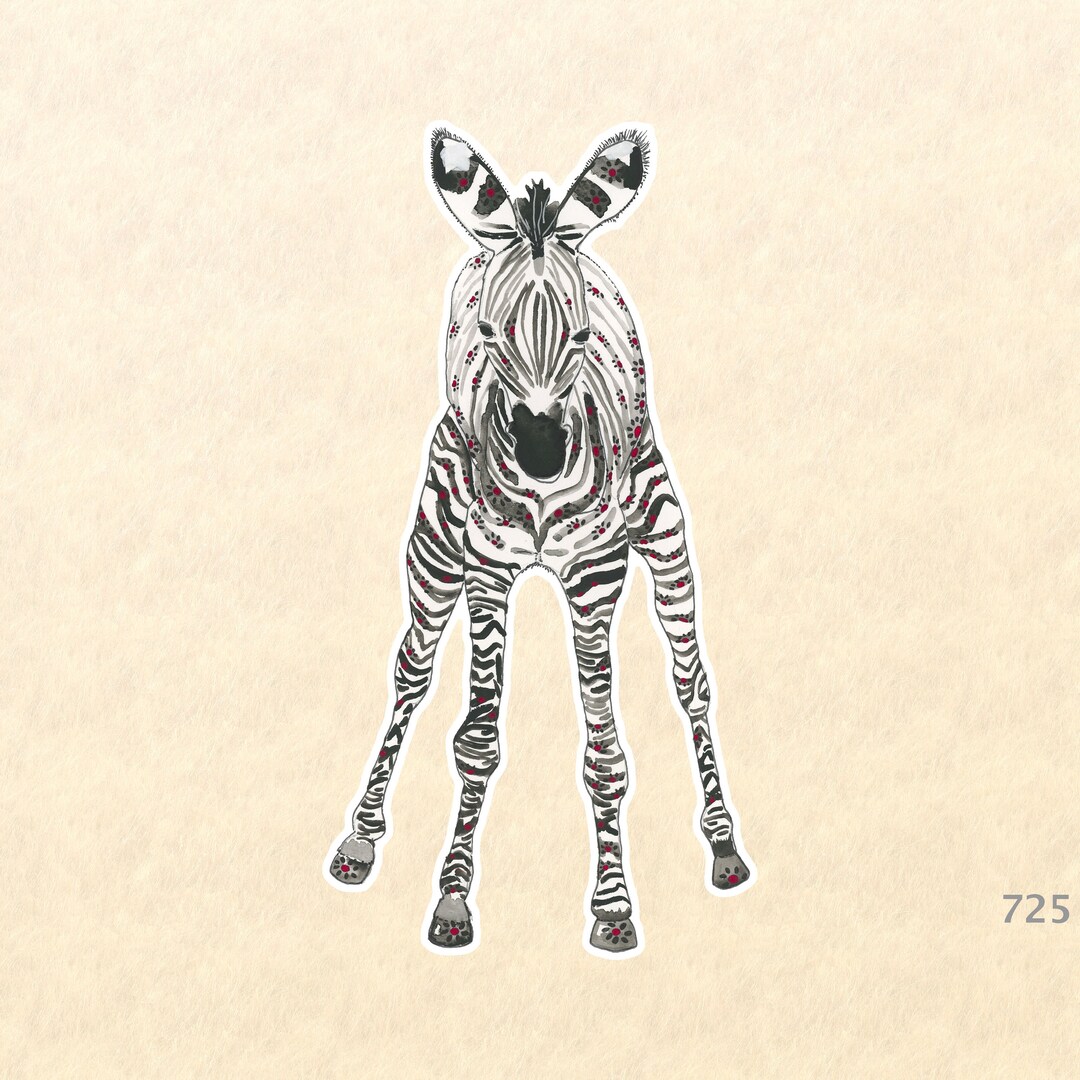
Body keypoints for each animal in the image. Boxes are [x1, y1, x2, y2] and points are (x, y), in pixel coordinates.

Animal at [325, 124, 753, 954]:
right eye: (490, 333)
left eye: (582, 333)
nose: (542, 456)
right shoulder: (485, 569)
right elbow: (475, 739)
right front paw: (453, 898)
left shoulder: (596, 572)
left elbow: (606, 752)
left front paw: (613, 907)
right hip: (433, 551)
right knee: (411, 674)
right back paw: (360, 836)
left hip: (661, 523)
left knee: (691, 681)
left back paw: (724, 845)